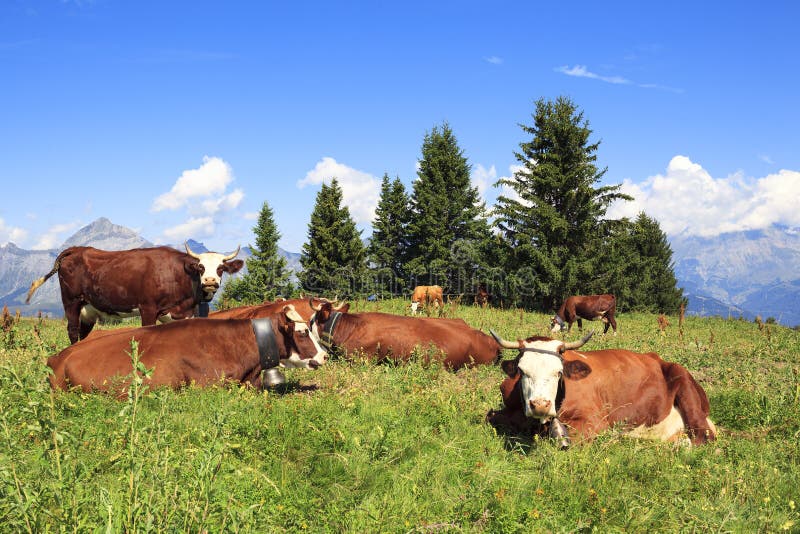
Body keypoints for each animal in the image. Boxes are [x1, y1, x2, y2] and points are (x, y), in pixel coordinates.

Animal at [26, 243, 244, 344]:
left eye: (221, 268)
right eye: (200, 267)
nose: (210, 282)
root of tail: (76, 249)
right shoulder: (147, 308)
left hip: (88, 310)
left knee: (82, 333)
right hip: (71, 301)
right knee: (72, 331)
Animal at [486, 331, 716, 447]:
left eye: (558, 372)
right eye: (522, 371)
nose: (540, 405)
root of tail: (657, 358)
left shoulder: (594, 421)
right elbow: (491, 417)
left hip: (686, 389)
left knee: (702, 439)